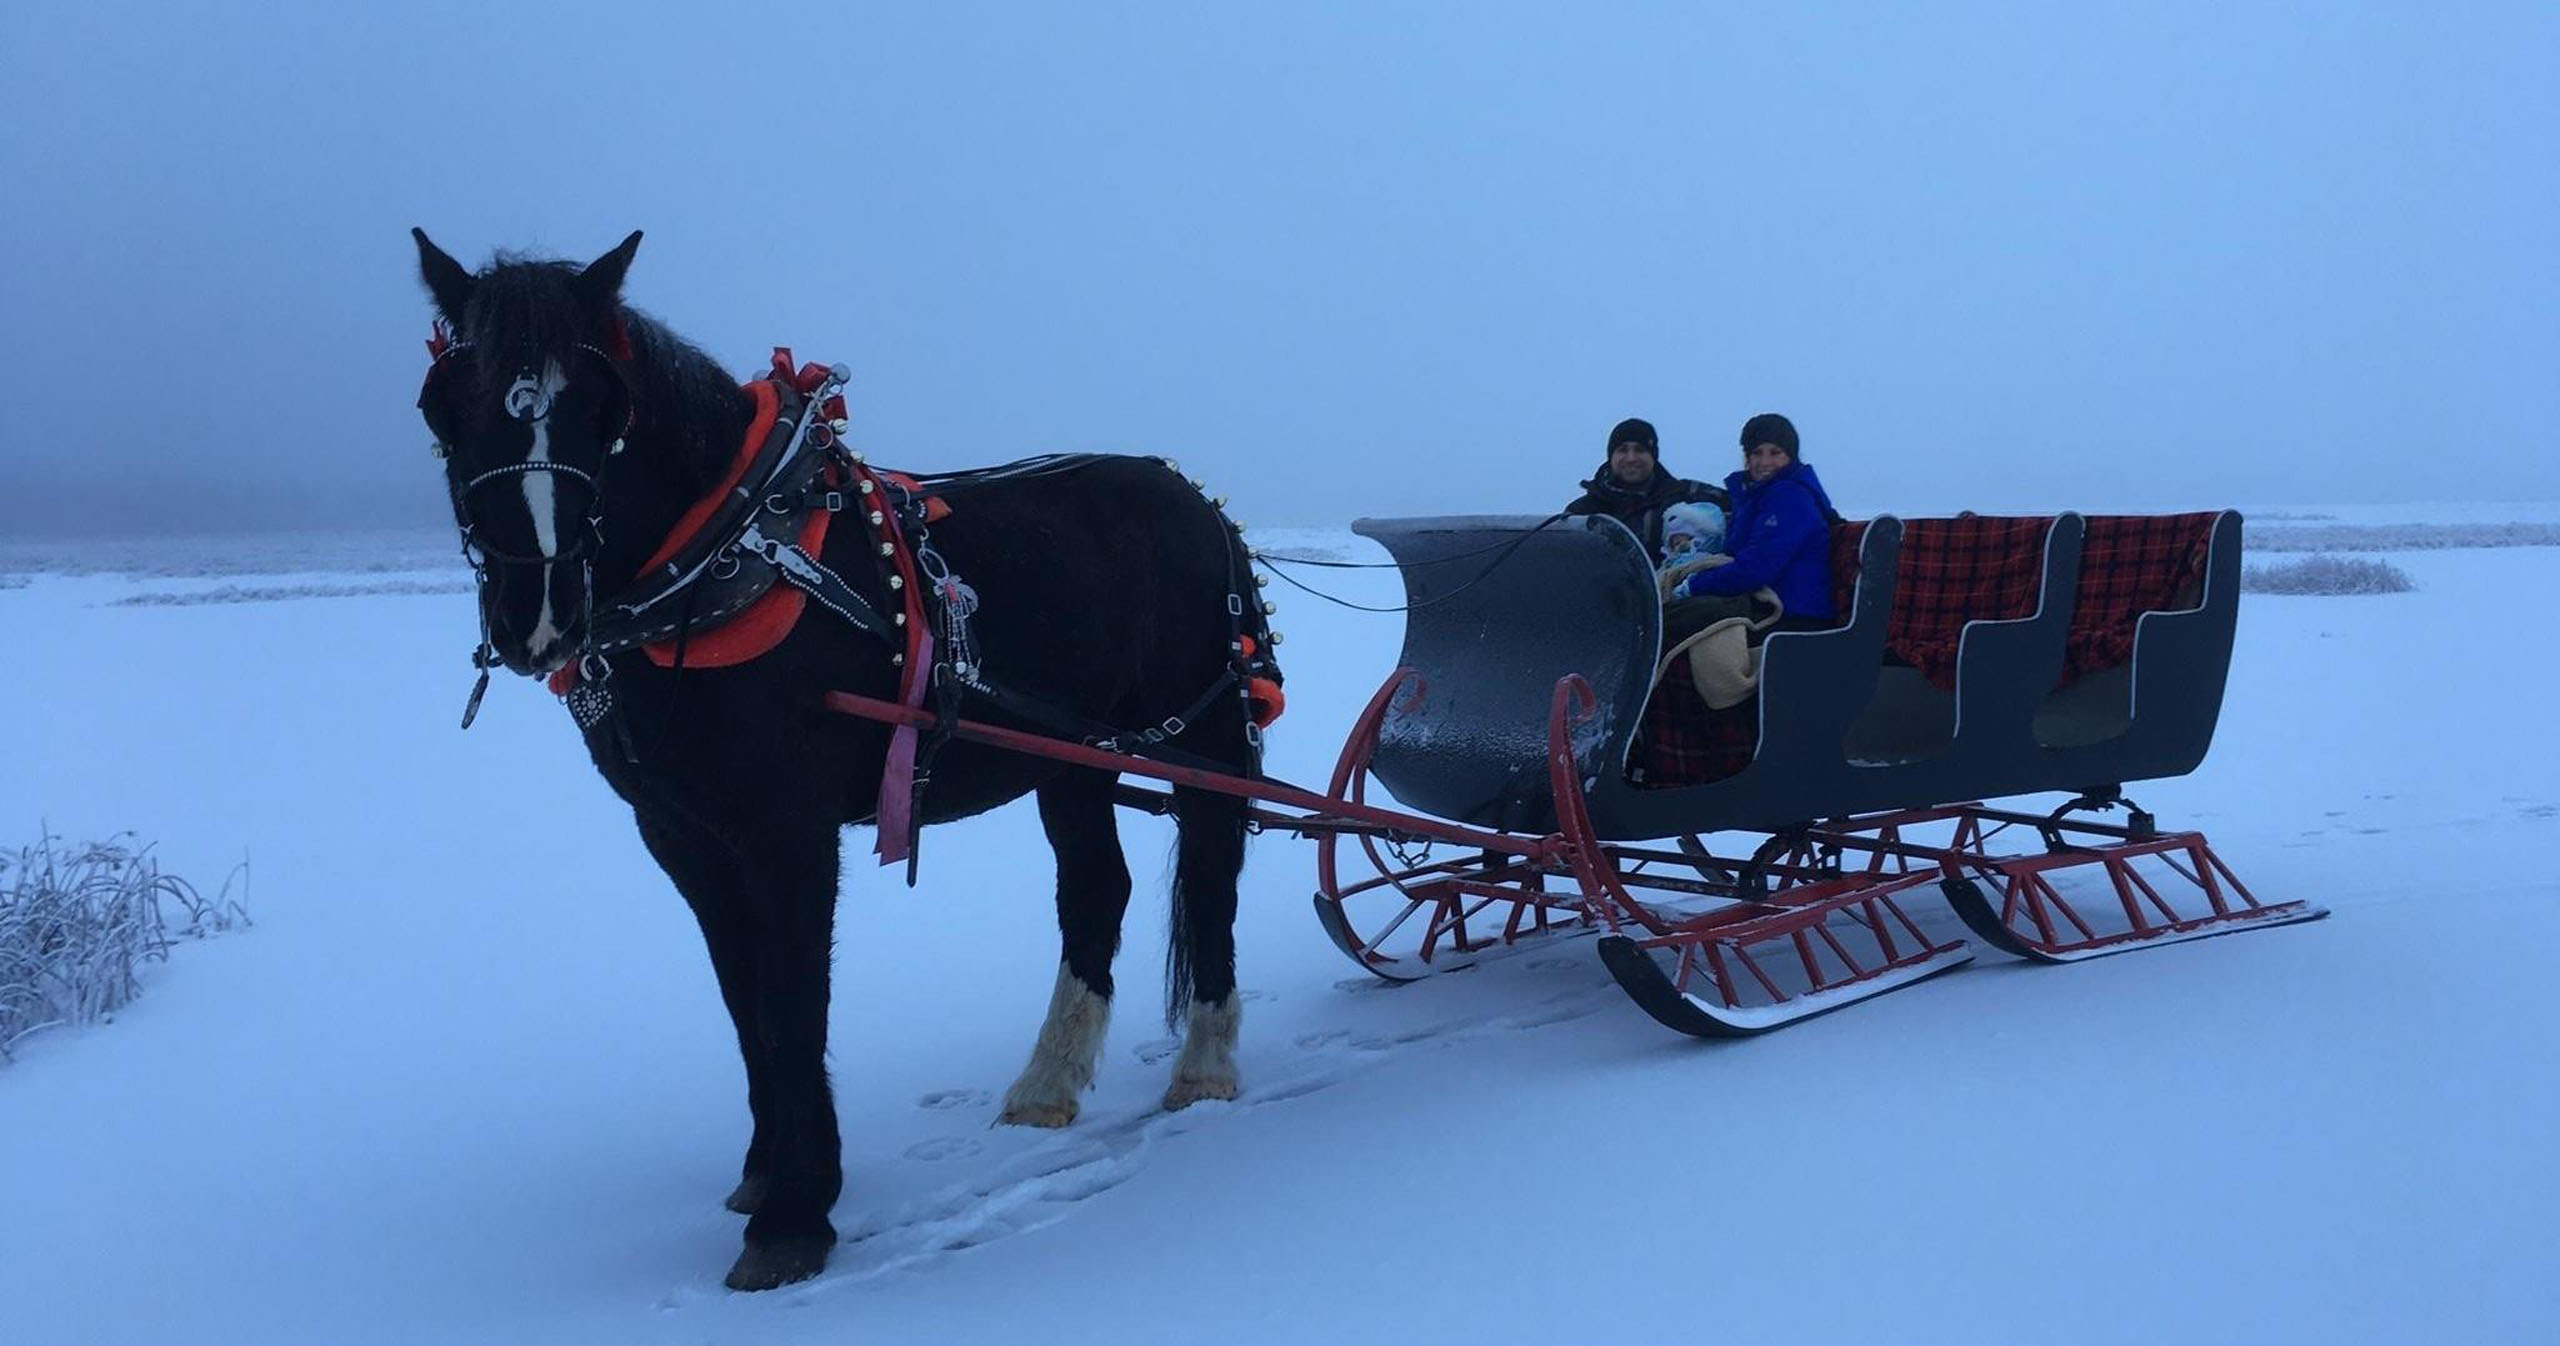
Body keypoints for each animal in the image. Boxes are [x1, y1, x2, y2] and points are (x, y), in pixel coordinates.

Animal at [409, 229, 1276, 1290]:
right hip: (1070, 757)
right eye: (446, 407)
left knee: (1211, 877)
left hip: (1204, 741)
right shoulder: (682, 834)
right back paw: (1048, 1082)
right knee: (1095, 891)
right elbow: (744, 1001)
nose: (538, 612)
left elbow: (791, 1002)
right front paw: (763, 1169)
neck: (725, 558)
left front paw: (794, 1211)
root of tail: (1195, 495)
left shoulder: (787, 831)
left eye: (605, 408)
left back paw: (1205, 1068)